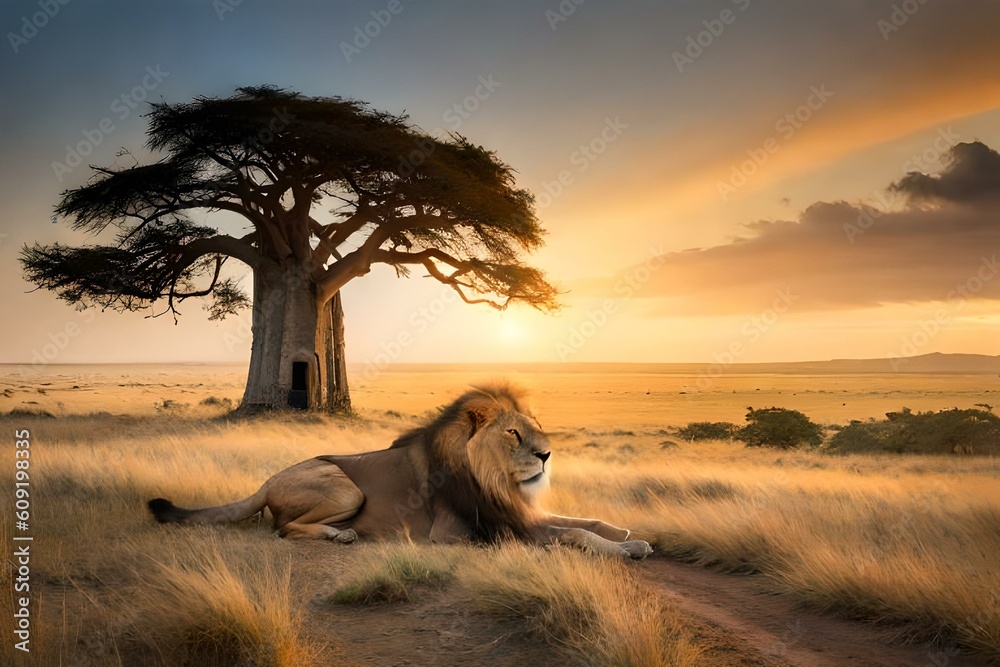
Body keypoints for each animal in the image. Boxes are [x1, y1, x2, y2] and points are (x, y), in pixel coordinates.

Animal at [147, 384, 653, 559]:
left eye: (538, 427)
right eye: (513, 433)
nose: (548, 455)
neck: (495, 480)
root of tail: (266, 481)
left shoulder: (514, 513)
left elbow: (580, 520)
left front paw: (629, 535)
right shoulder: (473, 531)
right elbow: (571, 534)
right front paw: (626, 551)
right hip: (346, 491)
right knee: (284, 529)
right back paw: (341, 536)